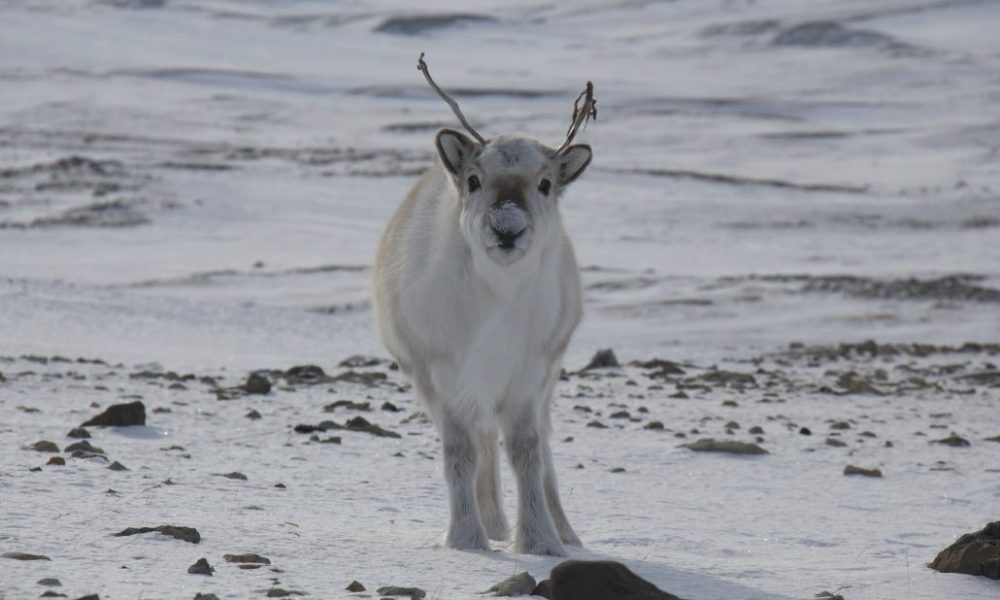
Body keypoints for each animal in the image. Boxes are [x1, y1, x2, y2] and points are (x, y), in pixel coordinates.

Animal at [372, 54, 596, 557]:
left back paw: (566, 533)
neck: (497, 296)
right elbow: (461, 454)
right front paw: (466, 539)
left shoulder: (528, 375)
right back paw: (491, 526)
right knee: (483, 442)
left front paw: (541, 542)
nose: (507, 229)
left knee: (539, 447)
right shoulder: (443, 376)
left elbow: (528, 452)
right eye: (474, 180)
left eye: (546, 184)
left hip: (544, 381)